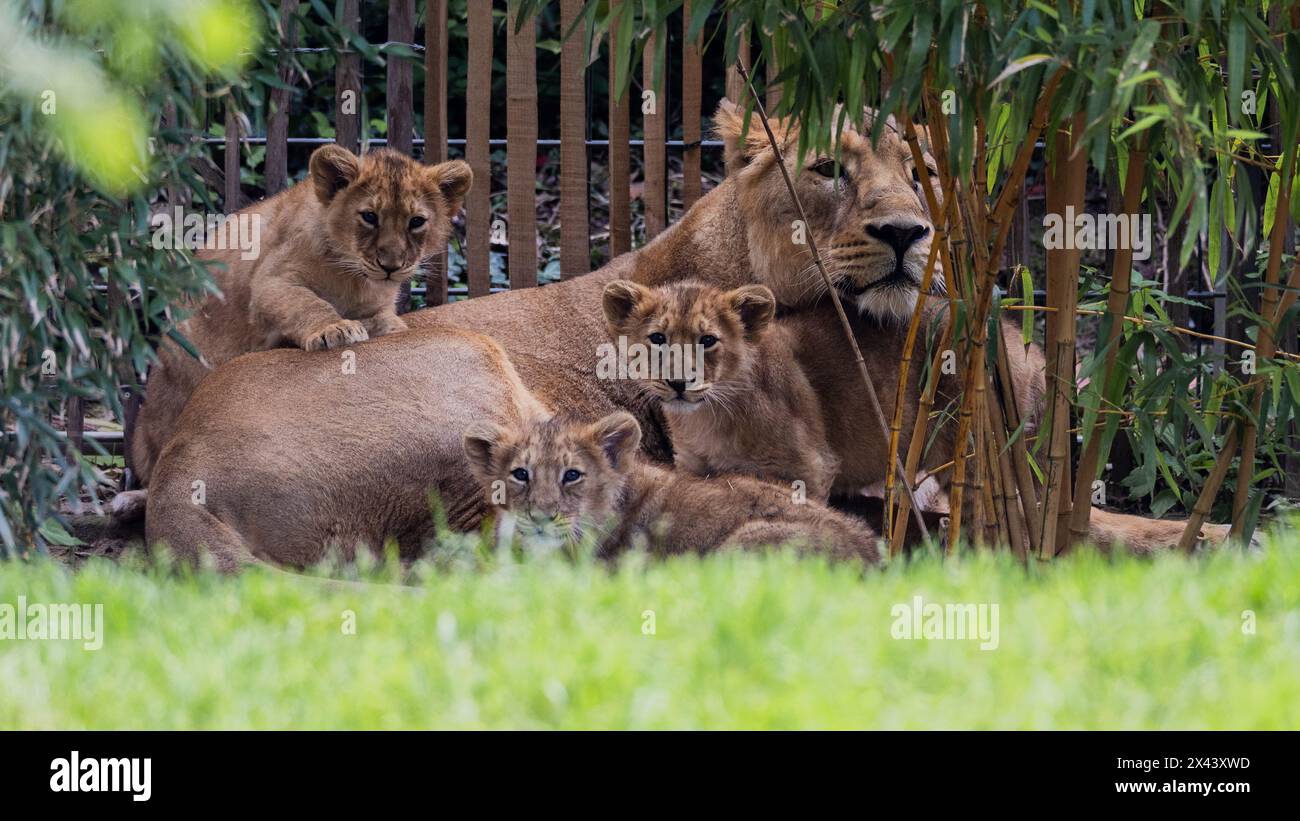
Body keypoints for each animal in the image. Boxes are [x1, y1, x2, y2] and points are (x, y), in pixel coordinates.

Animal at [124, 145, 472, 501]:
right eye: (369, 216)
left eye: (416, 222)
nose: (391, 265)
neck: (354, 278)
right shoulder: (271, 282)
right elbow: (306, 303)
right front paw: (335, 330)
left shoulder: (377, 305)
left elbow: (389, 323)